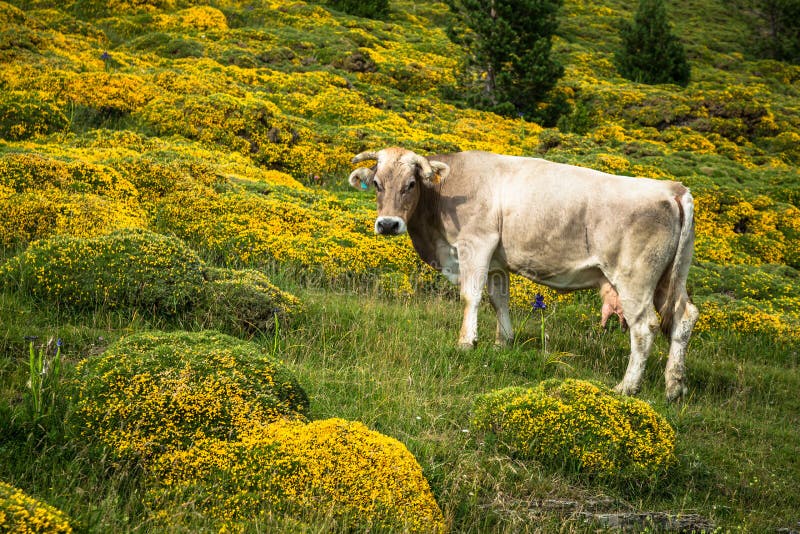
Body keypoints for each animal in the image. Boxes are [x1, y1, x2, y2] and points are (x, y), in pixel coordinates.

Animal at [348, 147, 699, 401]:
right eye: (377, 184)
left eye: (410, 184)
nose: (388, 224)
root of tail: (671, 187)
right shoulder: (496, 261)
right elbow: (498, 300)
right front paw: (503, 342)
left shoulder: (476, 243)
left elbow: (470, 296)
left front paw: (466, 342)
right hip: (670, 279)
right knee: (684, 318)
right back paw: (674, 386)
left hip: (634, 278)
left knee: (644, 327)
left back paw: (627, 388)